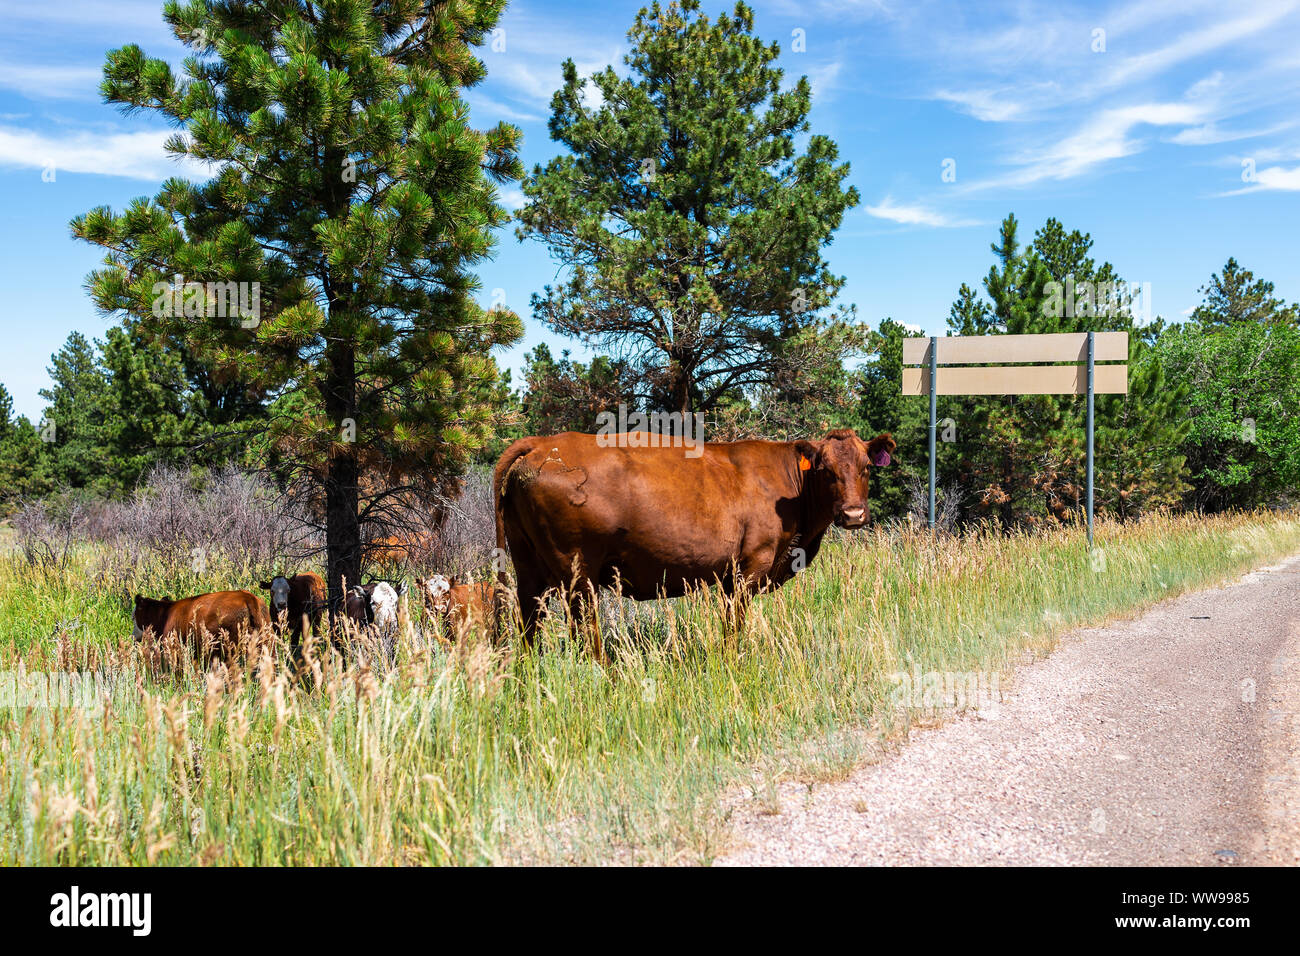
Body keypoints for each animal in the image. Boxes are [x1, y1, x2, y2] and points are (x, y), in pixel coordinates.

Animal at [493, 428, 895, 652]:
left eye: (865, 467)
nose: (853, 514)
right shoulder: (749, 568)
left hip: (528, 566)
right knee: (585, 631)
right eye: (826, 470)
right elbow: (734, 626)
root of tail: (542, 444)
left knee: (528, 624)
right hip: (577, 572)